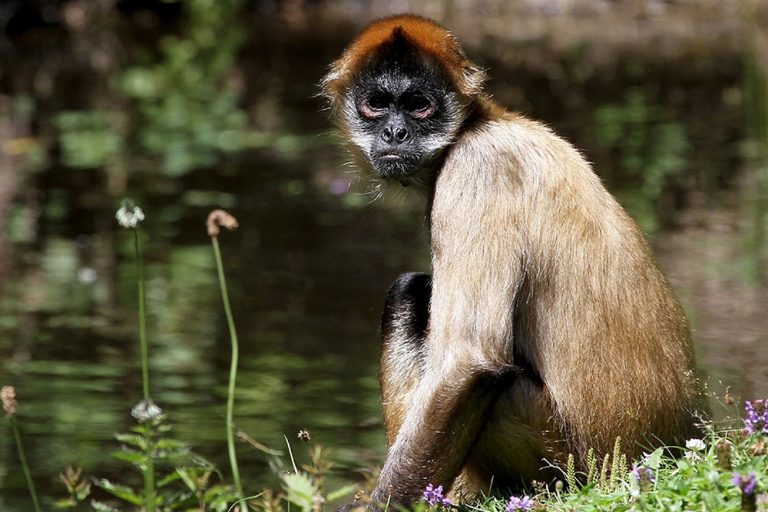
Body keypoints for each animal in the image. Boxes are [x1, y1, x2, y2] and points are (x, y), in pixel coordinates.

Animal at [321, 14, 706, 508]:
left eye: (419, 106)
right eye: (376, 104)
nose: (395, 133)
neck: (485, 122)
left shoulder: (476, 168)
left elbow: (468, 362)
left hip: (559, 452)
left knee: (411, 296)